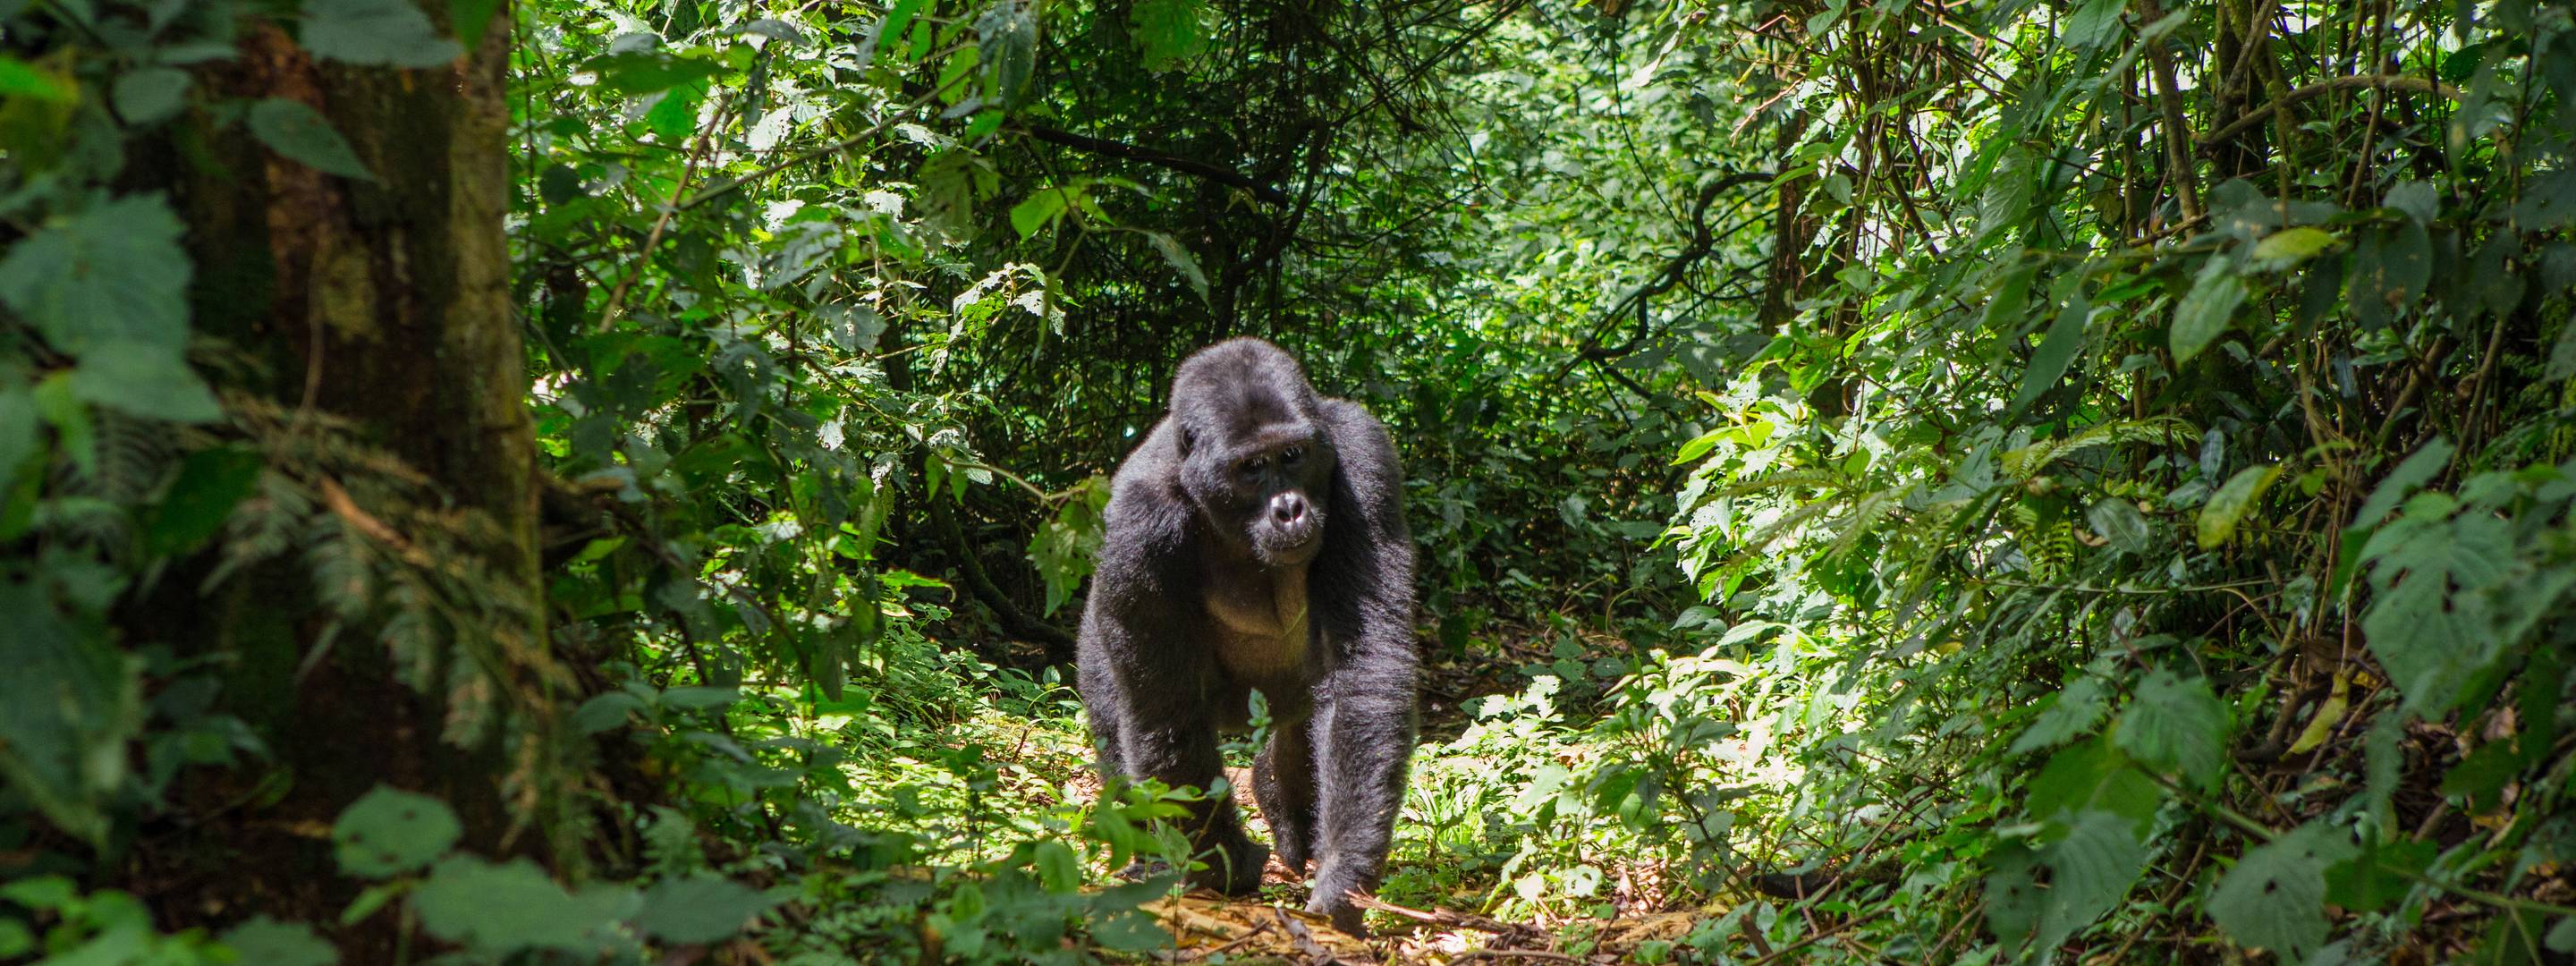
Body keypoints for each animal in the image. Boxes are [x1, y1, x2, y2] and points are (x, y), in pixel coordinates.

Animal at [1077, 337, 1418, 935]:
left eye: (1293, 457)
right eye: (1251, 468)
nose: (1291, 510)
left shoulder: (1363, 456)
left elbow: (1363, 669)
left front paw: (1345, 870)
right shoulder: (1138, 524)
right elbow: (1167, 712)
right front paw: (1224, 866)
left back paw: (1279, 795)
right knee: (1117, 720)